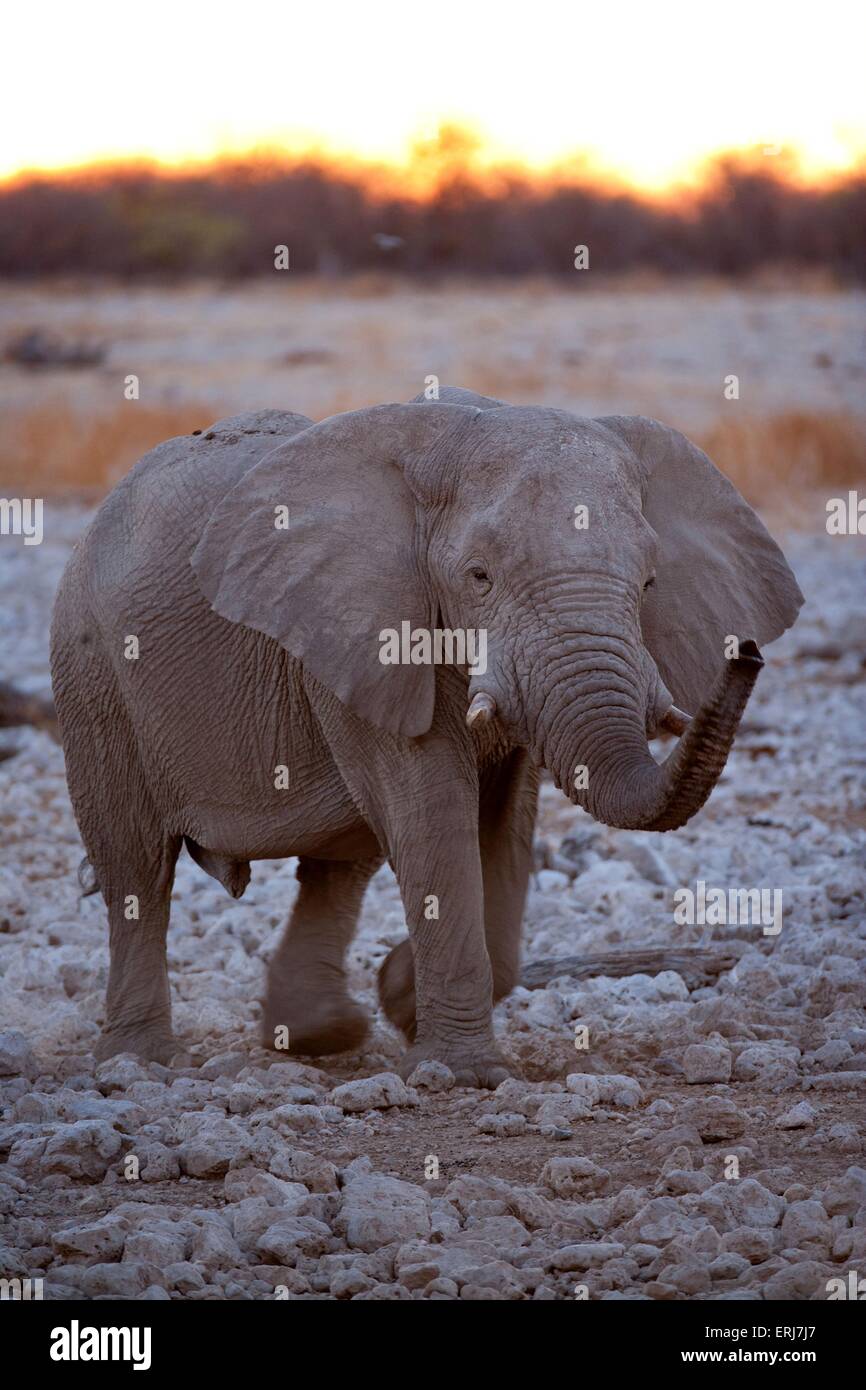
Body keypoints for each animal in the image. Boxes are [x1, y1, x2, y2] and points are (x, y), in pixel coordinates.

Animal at [49, 389, 803, 1085]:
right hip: (91, 673)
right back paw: (141, 1063)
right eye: (479, 576)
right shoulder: (365, 621)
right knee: (137, 868)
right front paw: (464, 1074)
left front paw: (403, 998)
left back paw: (320, 1034)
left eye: (649, 582)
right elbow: (431, 803)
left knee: (339, 861)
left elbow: (503, 821)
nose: (747, 653)